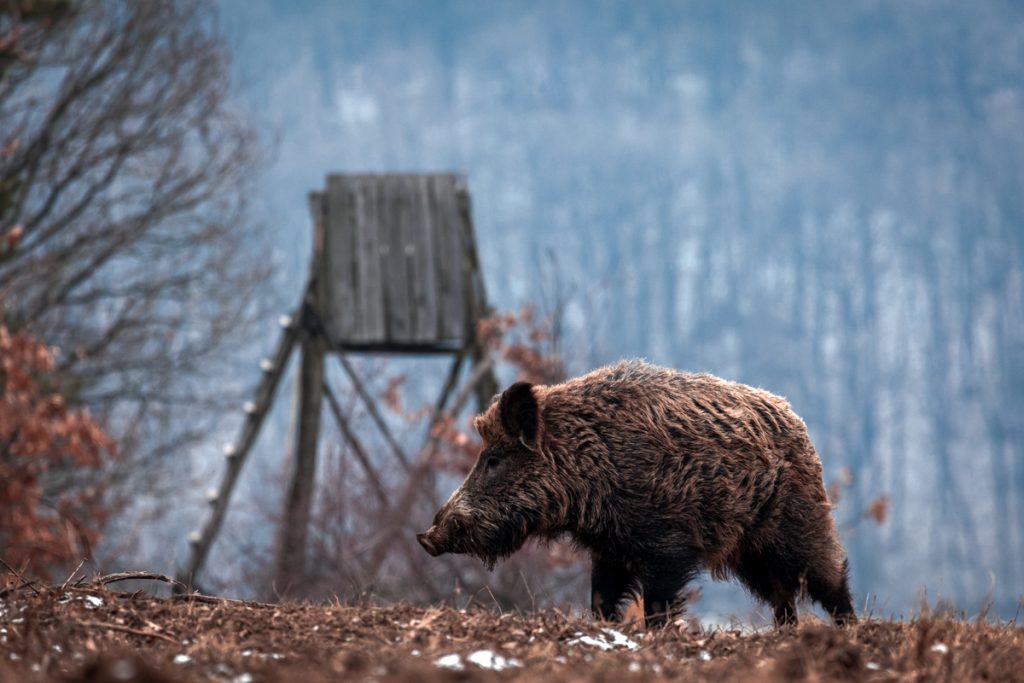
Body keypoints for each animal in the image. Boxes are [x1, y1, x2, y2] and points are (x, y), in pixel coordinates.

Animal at [416, 360, 856, 627]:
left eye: (494, 460)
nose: (426, 537)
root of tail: (796, 421)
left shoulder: (667, 546)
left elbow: (658, 604)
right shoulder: (609, 548)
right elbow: (601, 598)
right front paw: (607, 630)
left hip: (799, 523)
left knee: (830, 576)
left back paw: (848, 630)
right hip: (750, 552)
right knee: (783, 595)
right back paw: (787, 633)